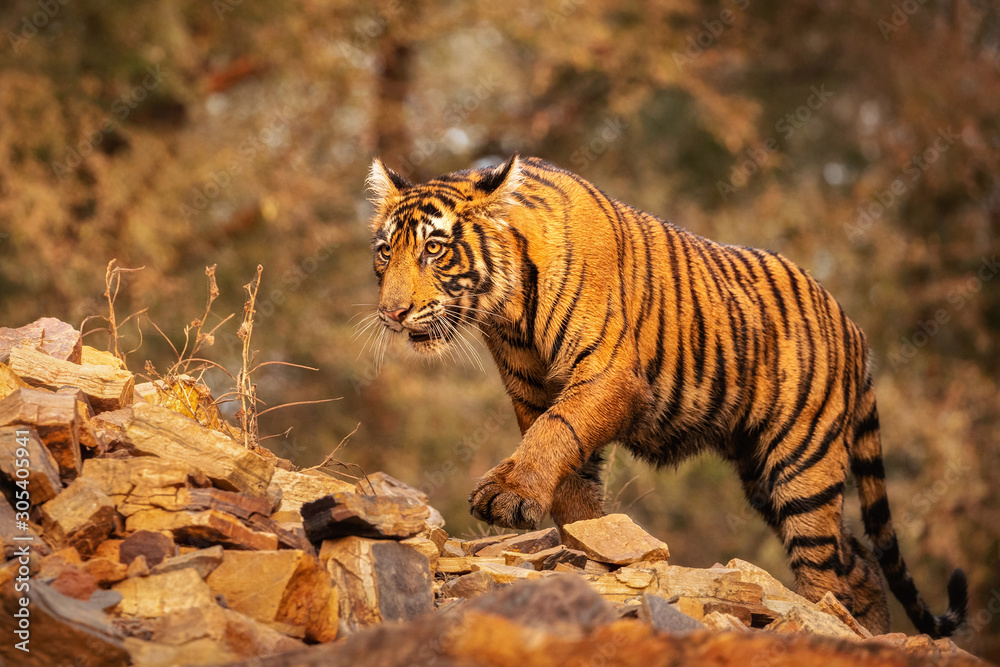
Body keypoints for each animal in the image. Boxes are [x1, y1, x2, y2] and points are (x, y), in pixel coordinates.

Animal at [364, 154, 968, 638]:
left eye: (435, 249)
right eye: (385, 253)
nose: (391, 313)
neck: (507, 309)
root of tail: (853, 326)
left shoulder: (608, 374)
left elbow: (557, 431)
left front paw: (509, 495)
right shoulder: (531, 390)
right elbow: (568, 471)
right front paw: (587, 543)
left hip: (803, 464)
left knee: (828, 568)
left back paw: (834, 626)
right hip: (762, 472)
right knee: (859, 559)